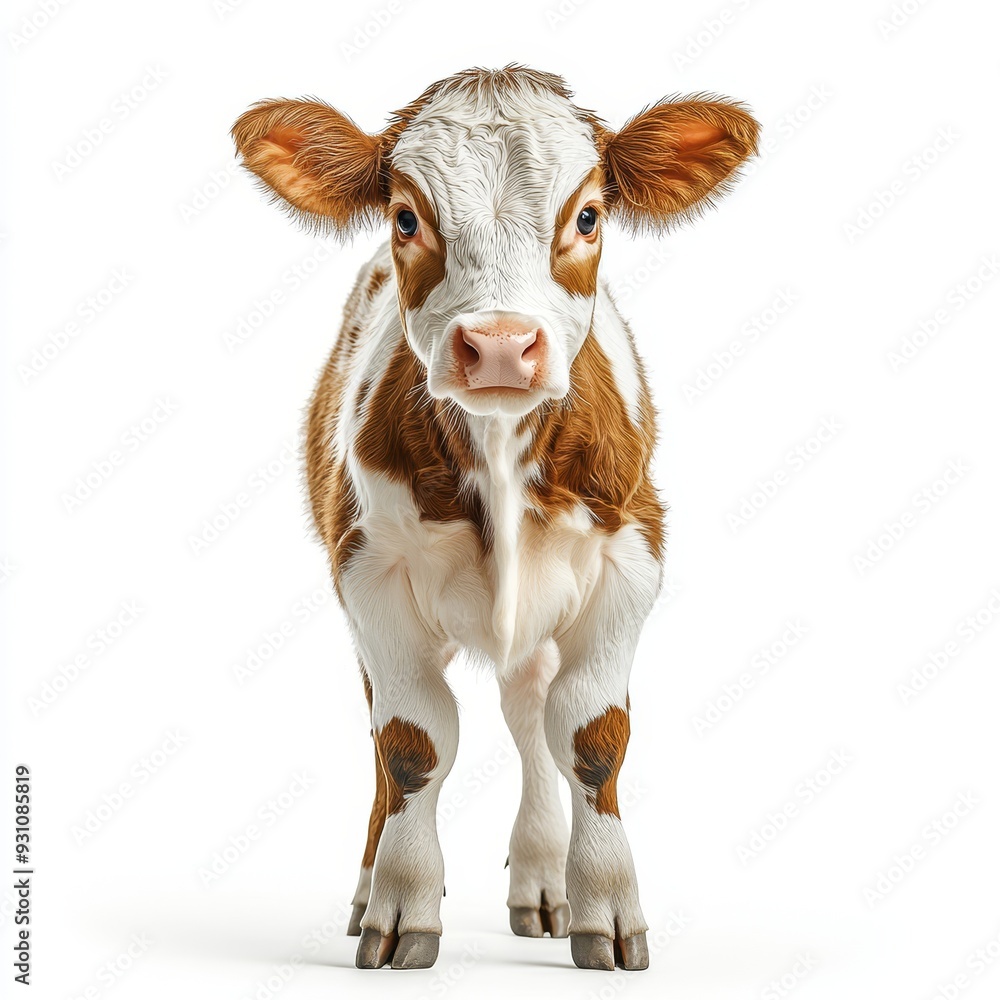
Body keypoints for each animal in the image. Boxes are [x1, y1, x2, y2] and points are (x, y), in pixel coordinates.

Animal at [232, 65, 758, 972]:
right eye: (407, 216)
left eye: (588, 216)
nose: (504, 345)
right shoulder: (368, 574)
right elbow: (411, 742)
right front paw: (400, 908)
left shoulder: (632, 560)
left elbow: (589, 735)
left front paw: (606, 909)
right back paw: (369, 888)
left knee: (531, 713)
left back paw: (546, 885)